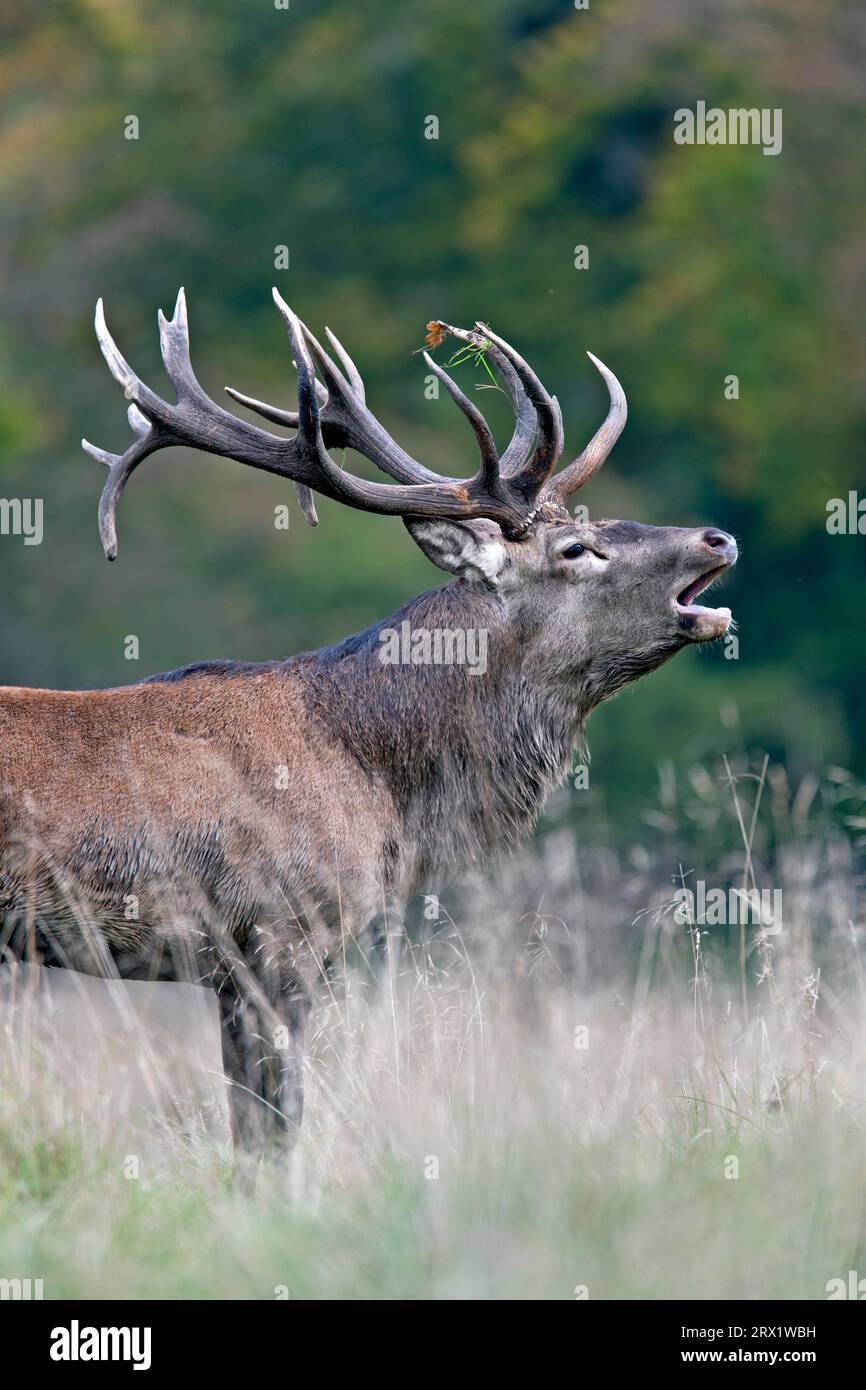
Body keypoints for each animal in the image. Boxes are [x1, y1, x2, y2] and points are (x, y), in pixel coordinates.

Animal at [0, 287, 737, 1158]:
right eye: (577, 549)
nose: (716, 535)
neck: (380, 779)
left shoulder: (228, 969)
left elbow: (247, 1127)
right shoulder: (276, 932)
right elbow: (277, 1128)